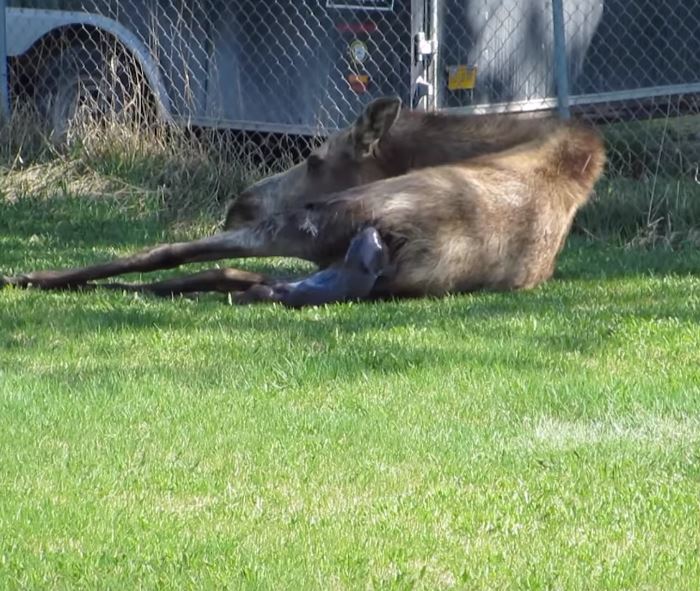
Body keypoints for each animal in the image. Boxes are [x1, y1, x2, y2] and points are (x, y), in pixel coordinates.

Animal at [1, 96, 606, 307]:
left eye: (315, 159)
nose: (240, 202)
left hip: (308, 223)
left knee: (173, 253)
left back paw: (31, 276)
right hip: (318, 259)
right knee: (230, 277)